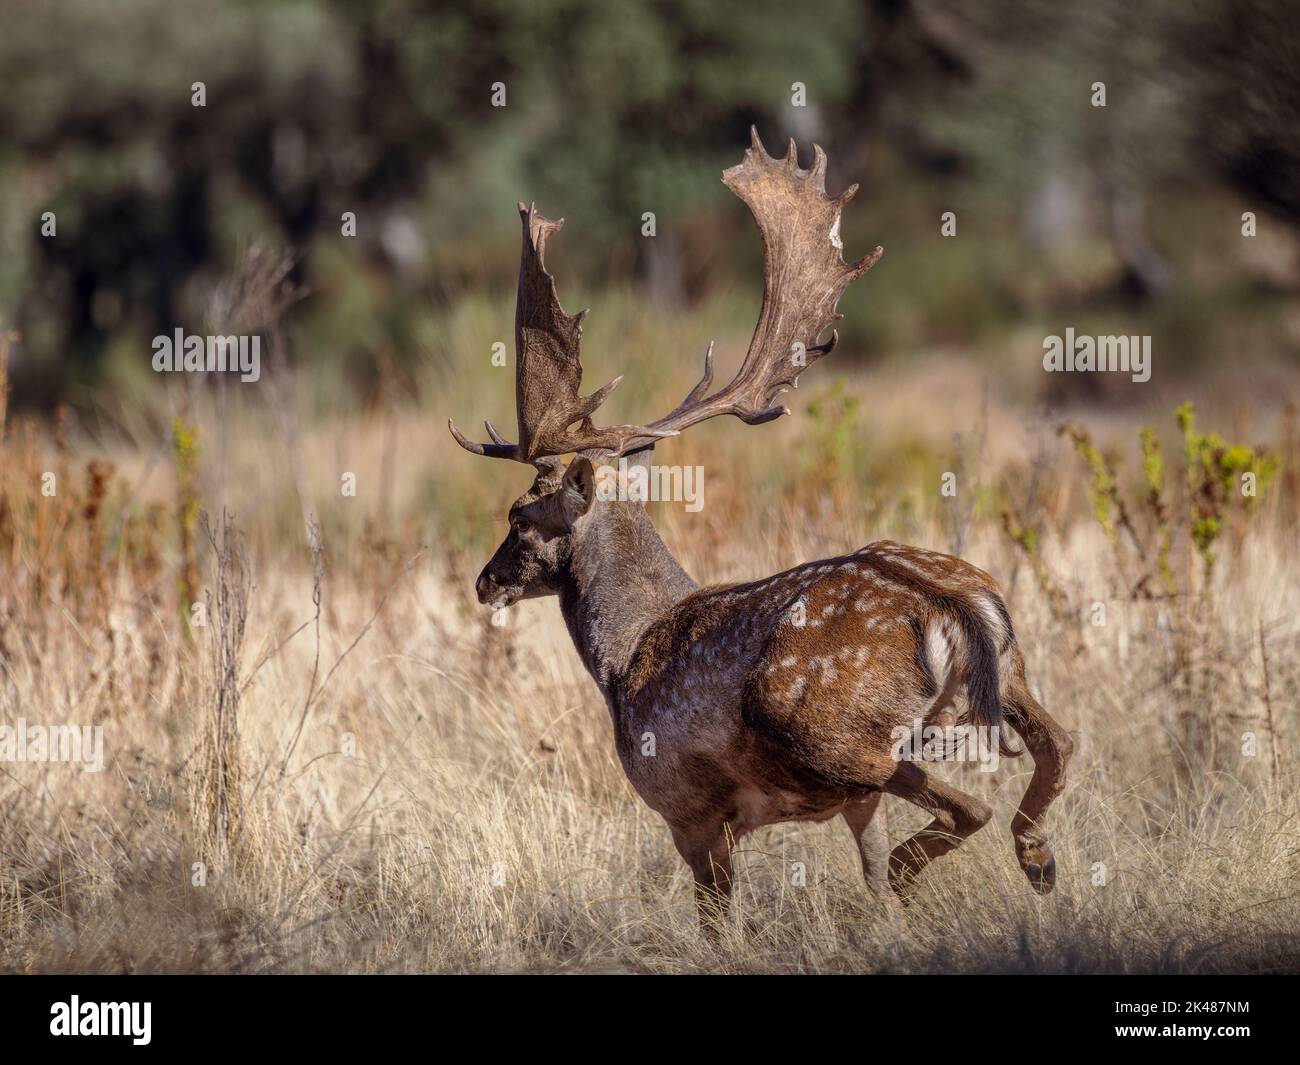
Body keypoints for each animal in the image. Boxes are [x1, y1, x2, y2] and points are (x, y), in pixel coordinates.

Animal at [449, 129, 1072, 926]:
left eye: (519, 514)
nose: (484, 580)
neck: (623, 657)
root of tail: (952, 602)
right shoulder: (848, 810)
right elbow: (868, 863)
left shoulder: (687, 809)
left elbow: (721, 920)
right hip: (1009, 668)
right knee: (1058, 742)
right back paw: (1036, 859)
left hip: (820, 722)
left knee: (965, 800)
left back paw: (974, 865)